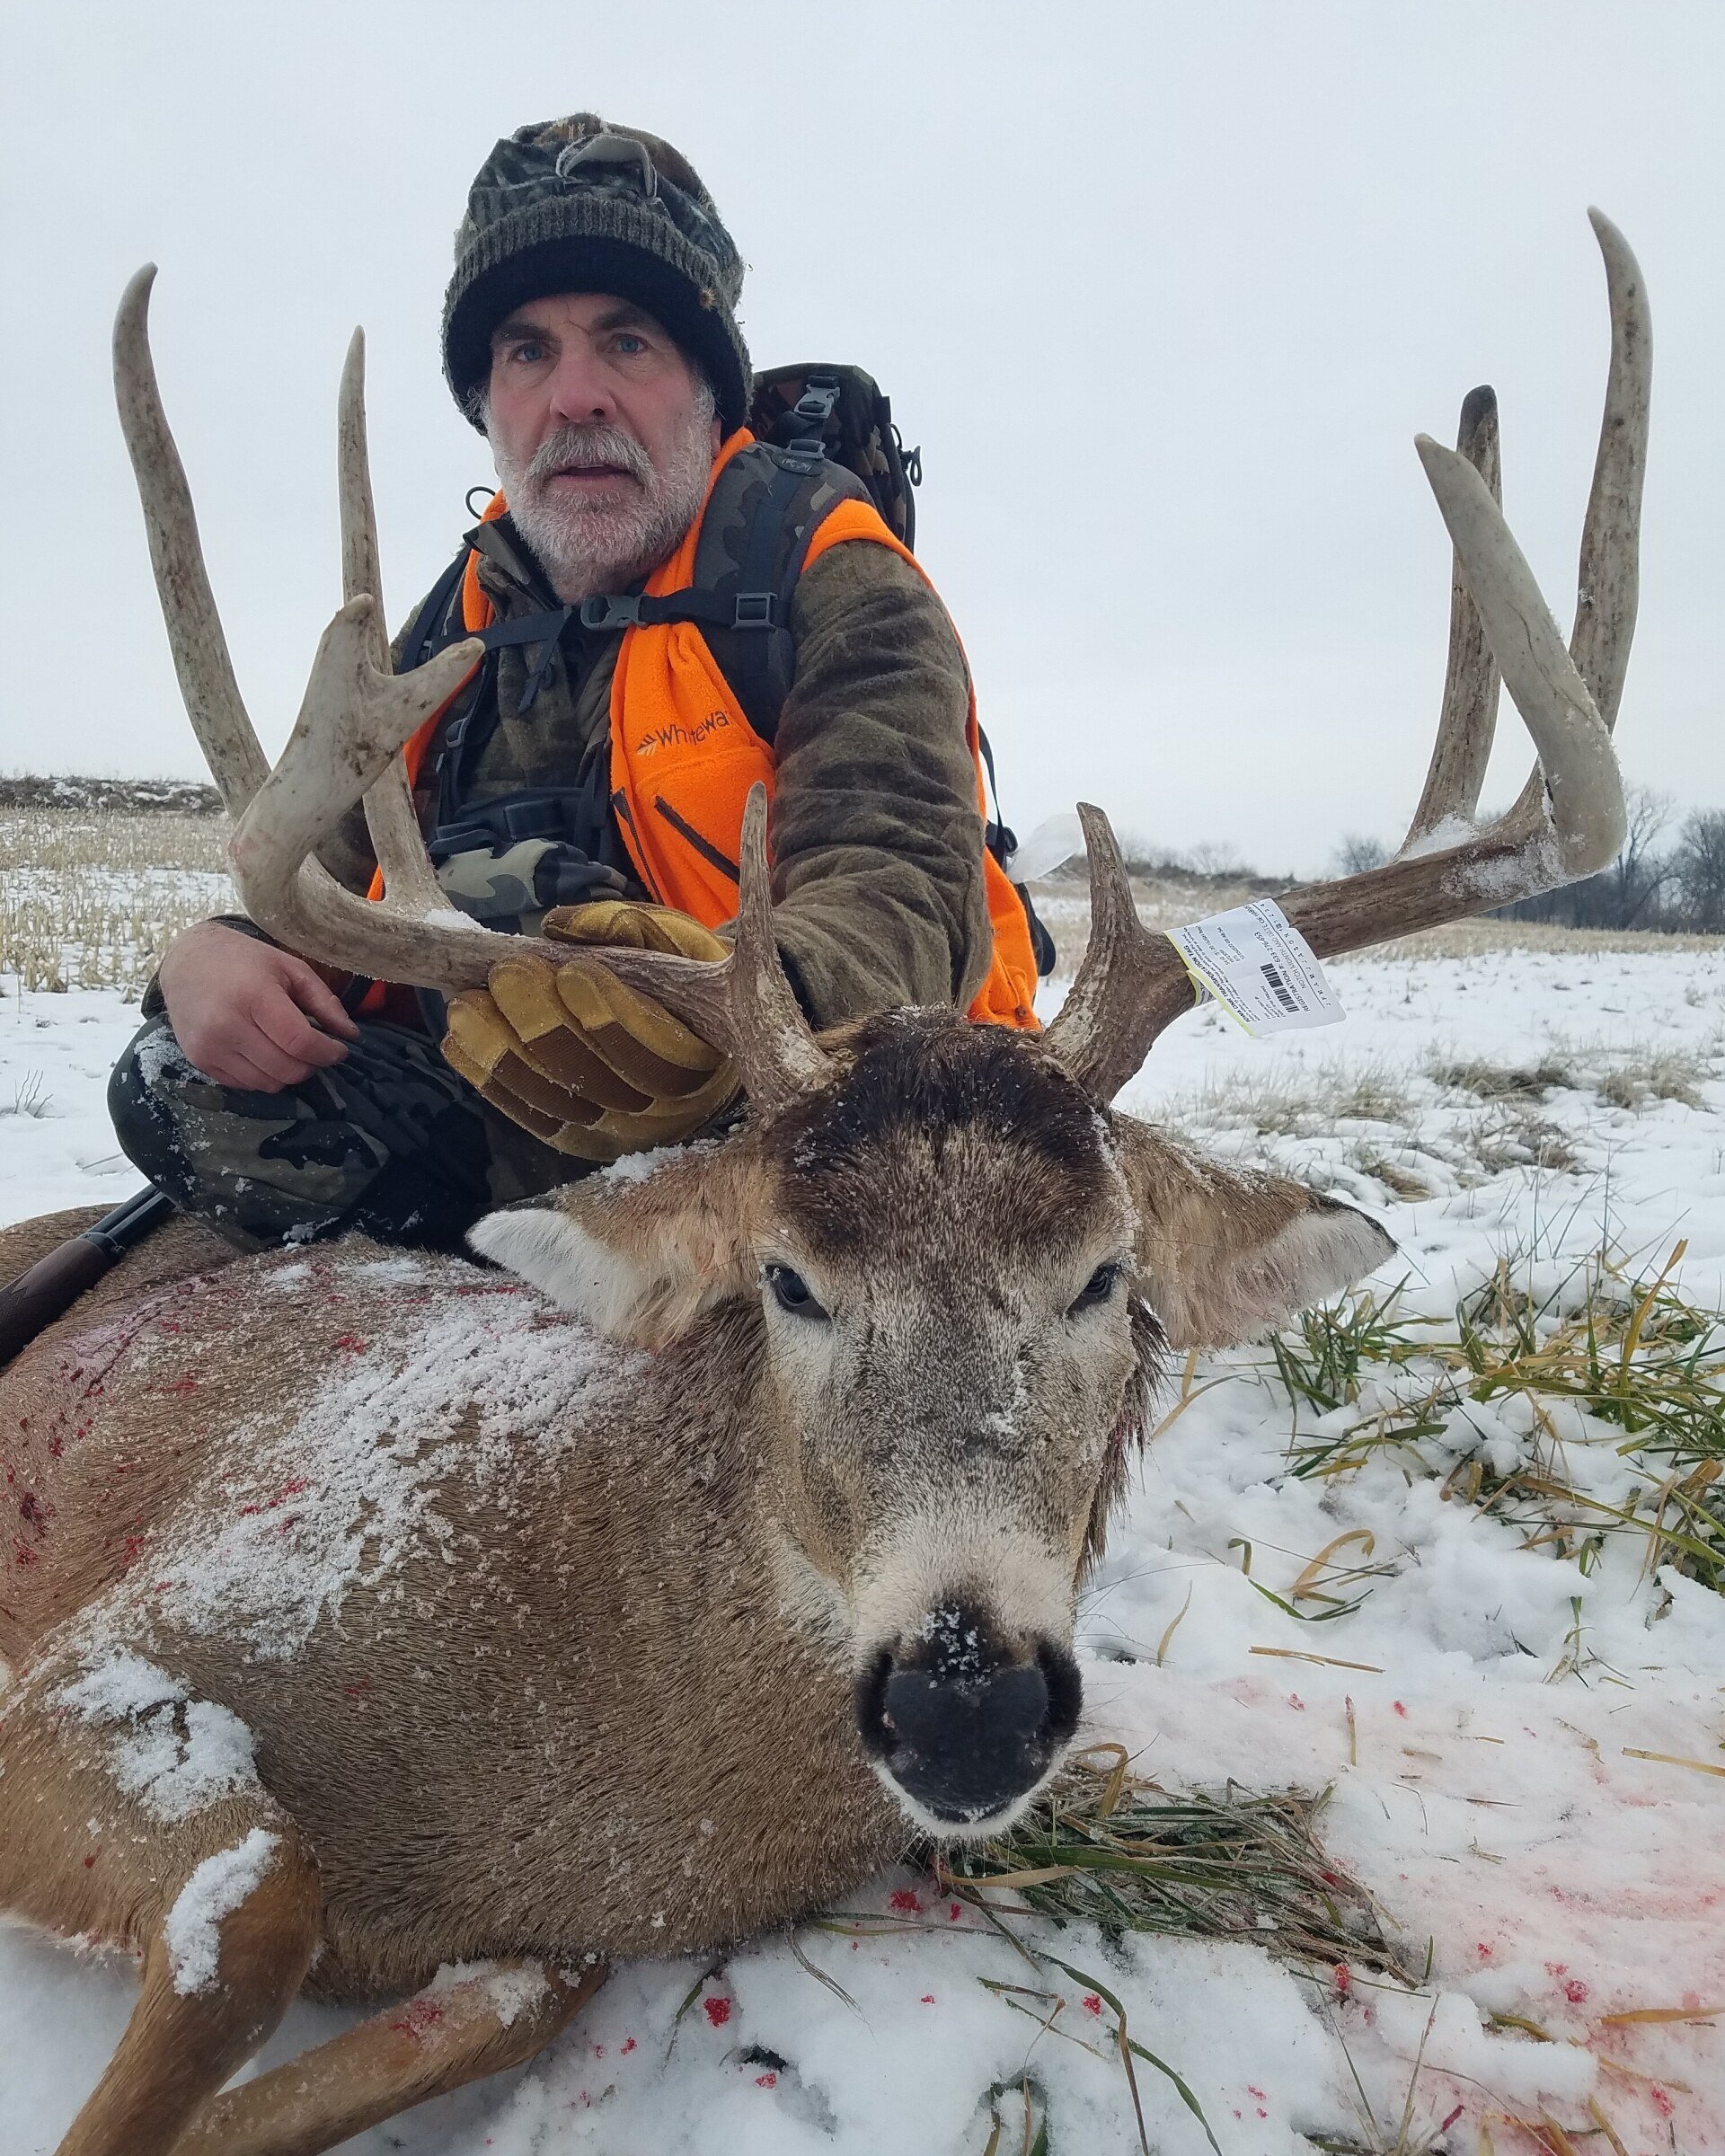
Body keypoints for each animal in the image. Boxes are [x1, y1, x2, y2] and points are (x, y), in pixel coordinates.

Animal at [0, 209, 1646, 2156]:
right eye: (786, 1278)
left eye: (1107, 1277)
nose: (966, 1702)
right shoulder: (98, 1656)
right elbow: (250, 1903)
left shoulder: (540, 1939)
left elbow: (476, 1997)